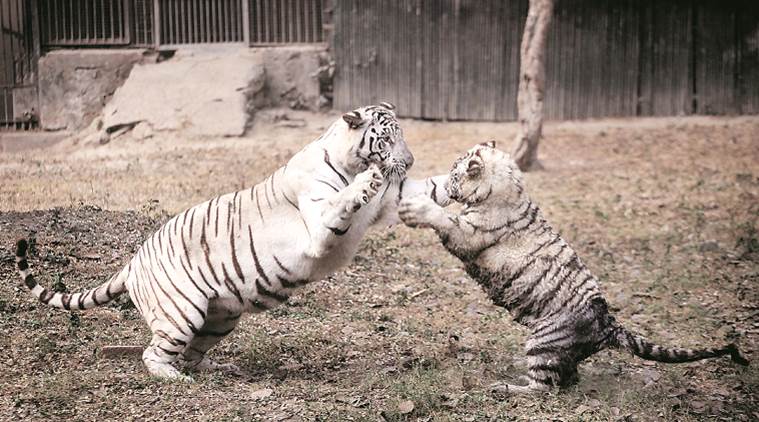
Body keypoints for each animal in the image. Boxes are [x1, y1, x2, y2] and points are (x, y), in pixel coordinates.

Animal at [14, 102, 451, 381]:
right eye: (386, 140)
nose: (409, 161)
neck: (349, 159)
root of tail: (134, 261)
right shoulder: (320, 224)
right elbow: (346, 198)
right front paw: (367, 179)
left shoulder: (393, 198)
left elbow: (432, 188)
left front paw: (463, 169)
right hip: (180, 314)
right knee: (154, 353)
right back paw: (173, 379)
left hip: (220, 319)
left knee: (193, 353)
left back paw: (216, 368)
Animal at [398, 141, 749, 394]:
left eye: (455, 172)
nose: (444, 183)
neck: (502, 190)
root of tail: (607, 324)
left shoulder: (469, 234)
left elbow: (447, 219)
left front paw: (418, 206)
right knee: (565, 379)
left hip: (542, 342)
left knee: (545, 389)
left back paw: (505, 387)